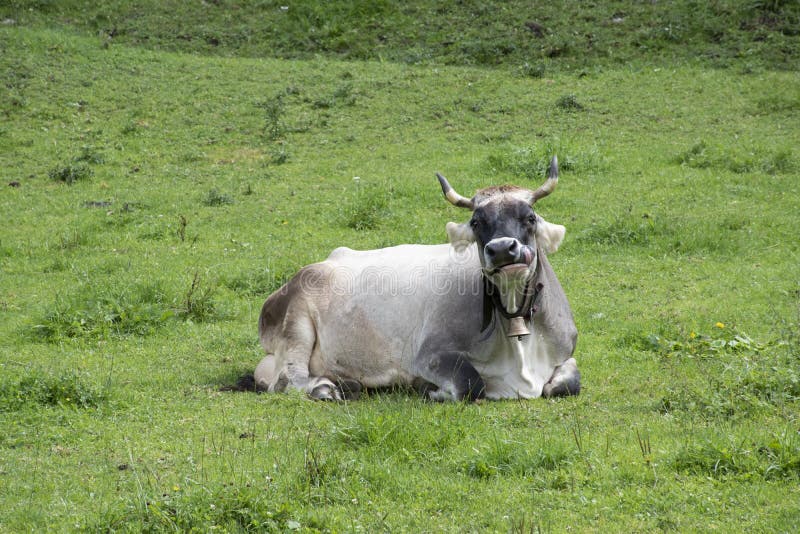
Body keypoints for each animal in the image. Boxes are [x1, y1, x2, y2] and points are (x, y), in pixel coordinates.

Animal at [249, 156, 579, 401]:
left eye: (530, 218)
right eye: (476, 222)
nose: (501, 250)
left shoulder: (566, 352)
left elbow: (570, 383)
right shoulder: (429, 355)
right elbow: (470, 385)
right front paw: (432, 391)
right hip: (295, 325)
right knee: (288, 379)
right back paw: (325, 388)